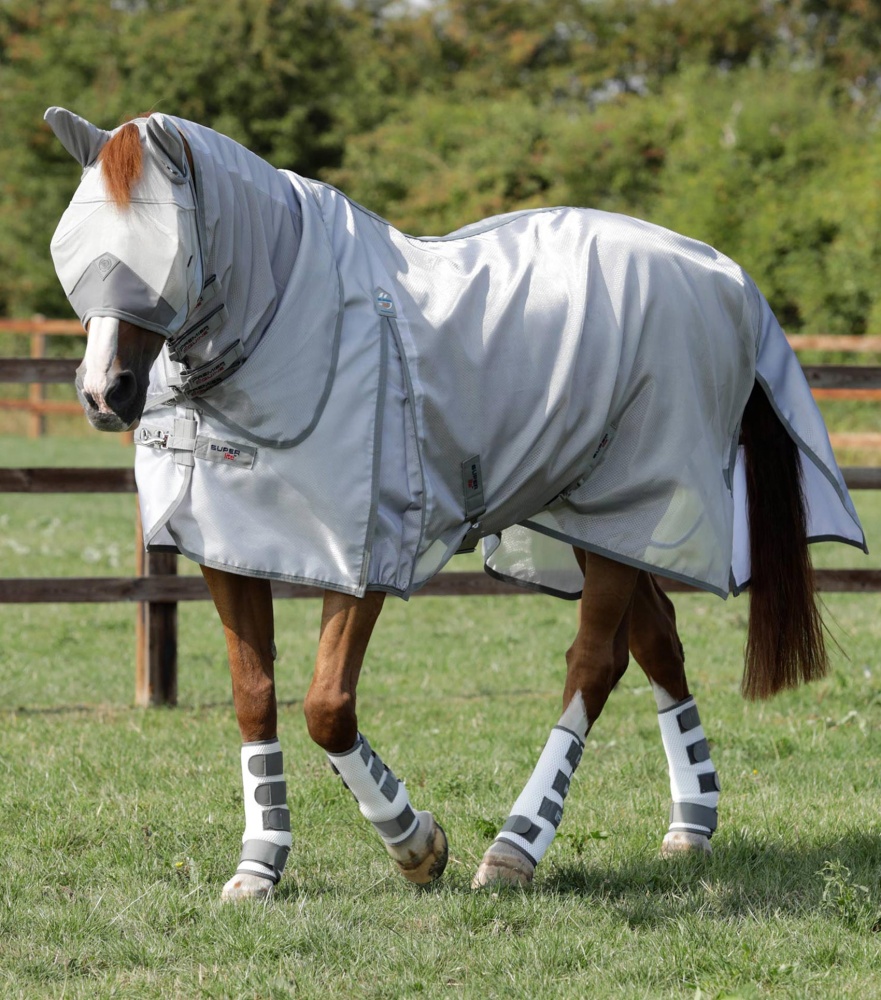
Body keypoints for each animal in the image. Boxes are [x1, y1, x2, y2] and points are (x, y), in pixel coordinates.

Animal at [44, 107, 866, 900]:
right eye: (76, 244)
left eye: (166, 247)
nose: (105, 392)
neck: (294, 326)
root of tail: (722, 274)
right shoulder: (229, 548)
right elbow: (254, 695)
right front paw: (259, 864)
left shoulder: (368, 552)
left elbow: (326, 706)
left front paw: (417, 846)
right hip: (601, 524)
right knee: (658, 643)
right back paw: (690, 824)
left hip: (629, 505)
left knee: (593, 664)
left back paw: (515, 849)